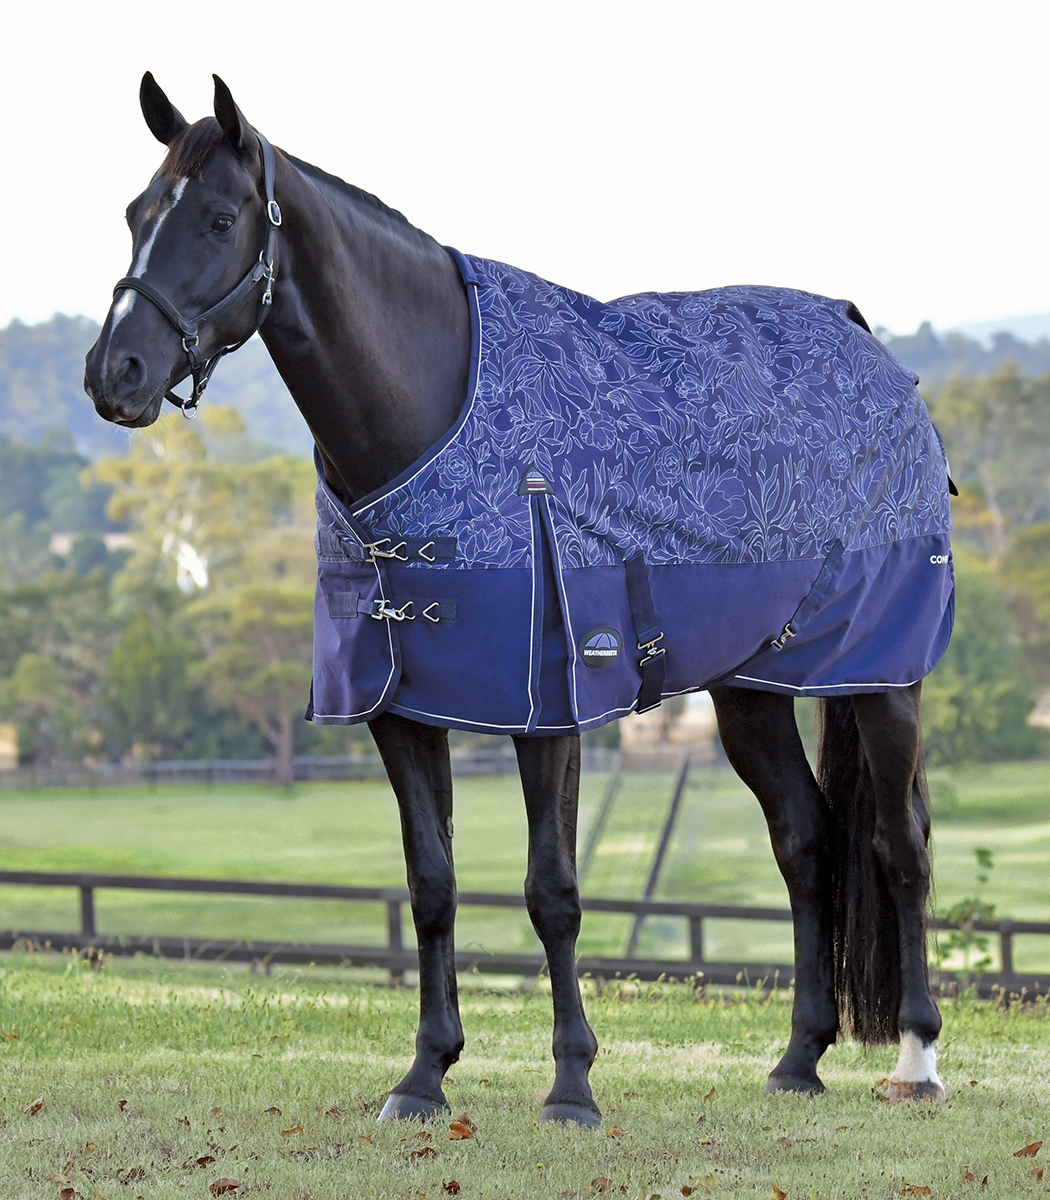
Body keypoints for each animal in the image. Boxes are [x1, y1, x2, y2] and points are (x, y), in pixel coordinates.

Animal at [84, 74, 955, 1125]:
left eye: (217, 219)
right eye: (136, 214)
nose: (114, 373)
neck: (432, 416)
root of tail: (868, 343)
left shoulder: (549, 713)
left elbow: (553, 893)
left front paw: (572, 1085)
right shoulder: (403, 708)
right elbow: (432, 885)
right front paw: (424, 1075)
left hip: (881, 675)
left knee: (898, 842)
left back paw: (915, 1059)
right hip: (750, 688)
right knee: (806, 840)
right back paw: (798, 1058)